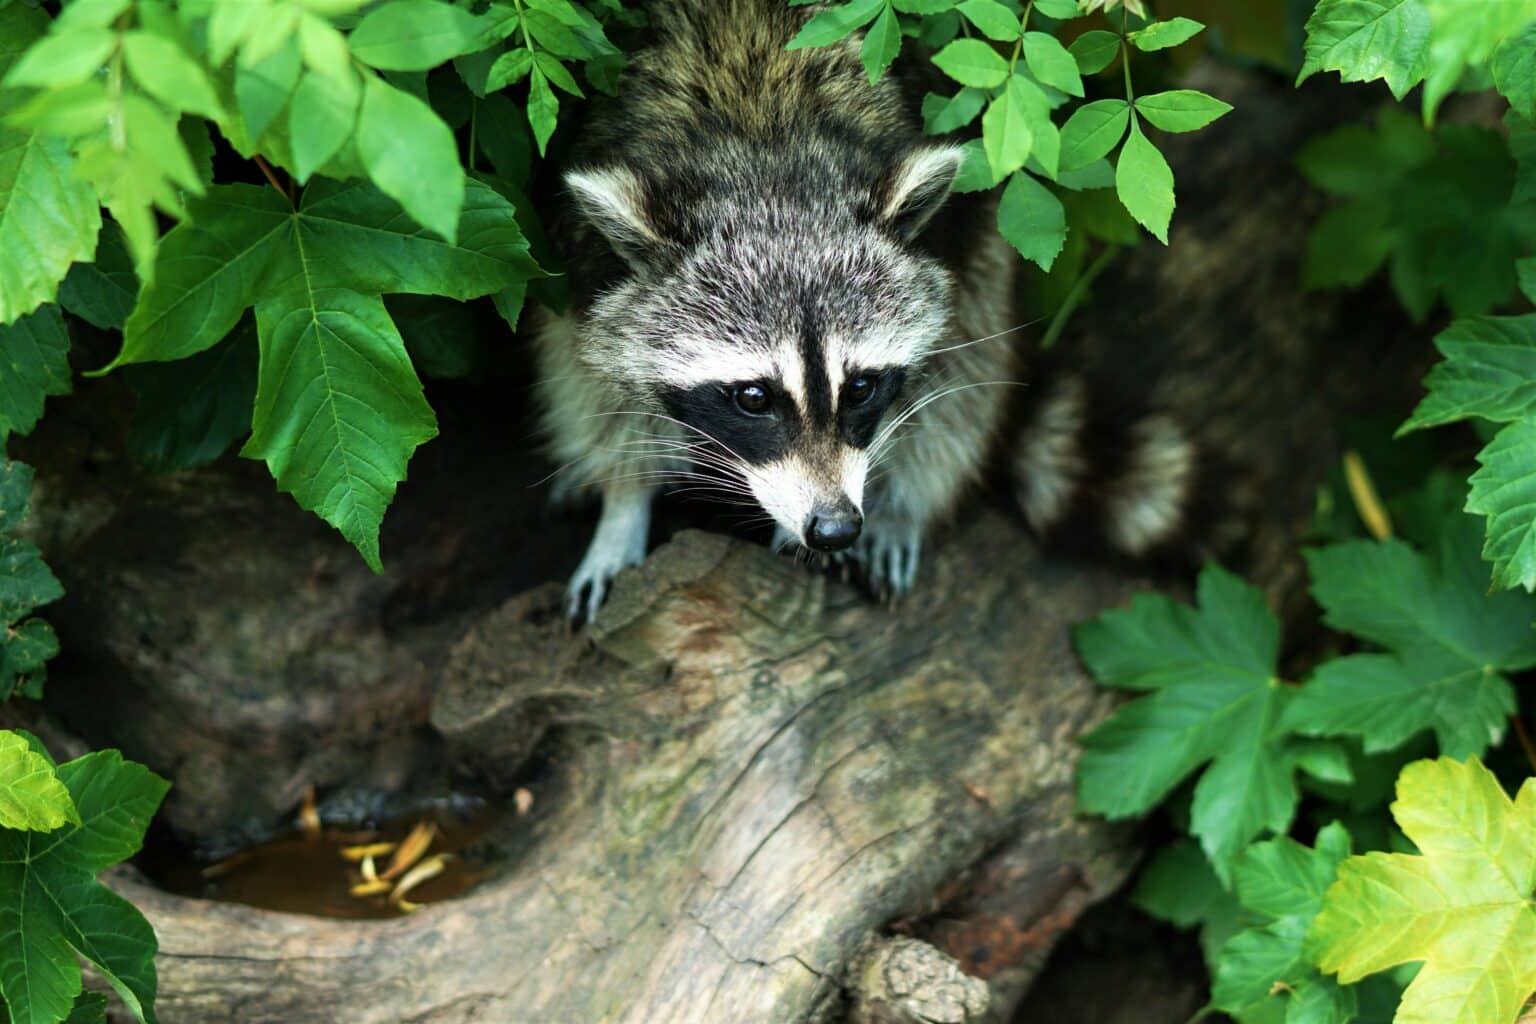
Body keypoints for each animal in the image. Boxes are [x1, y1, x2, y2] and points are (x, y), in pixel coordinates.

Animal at [535, 0, 1199, 622]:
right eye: (753, 397)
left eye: (859, 388)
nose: (835, 527)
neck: (765, 157)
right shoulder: (587, 265)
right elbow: (594, 384)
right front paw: (624, 505)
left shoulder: (946, 240)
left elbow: (950, 373)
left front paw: (892, 505)